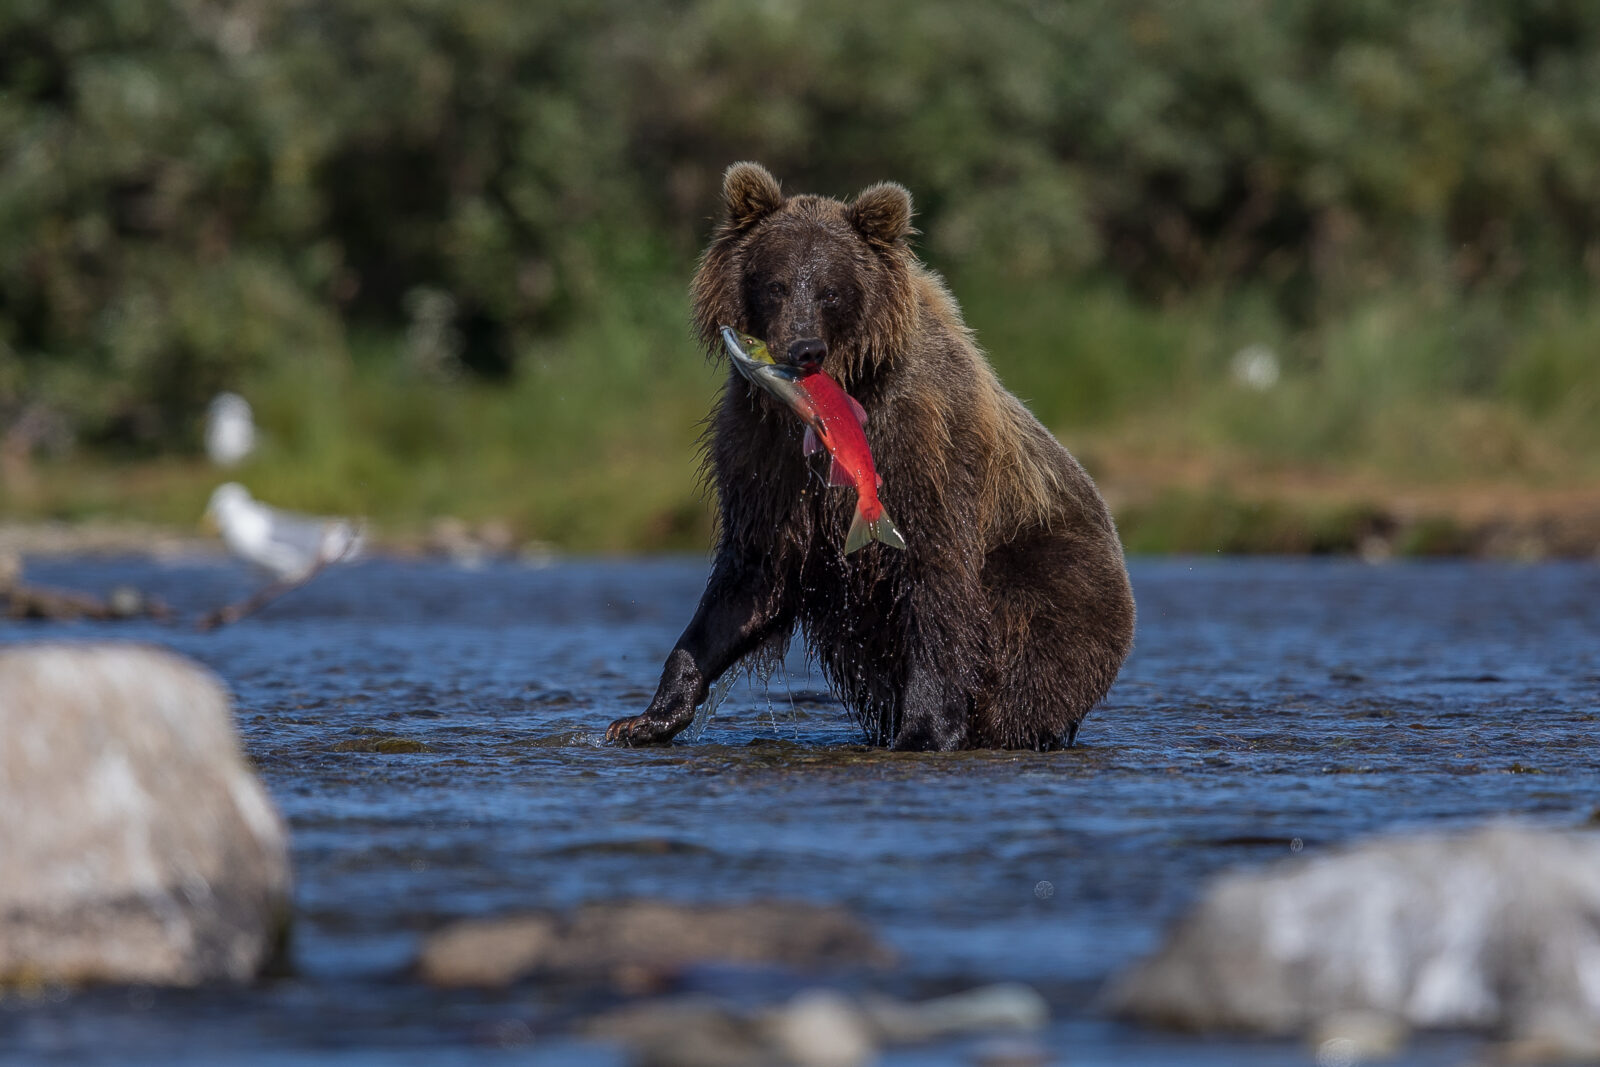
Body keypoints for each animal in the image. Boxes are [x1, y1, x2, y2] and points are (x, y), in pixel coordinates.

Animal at [606, 162, 1135, 751]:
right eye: (775, 284)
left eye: (832, 291)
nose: (803, 348)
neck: (823, 400)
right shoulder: (761, 459)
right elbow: (746, 584)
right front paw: (646, 717)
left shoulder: (921, 446)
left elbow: (937, 583)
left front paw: (924, 730)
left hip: (1050, 574)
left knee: (1028, 654)